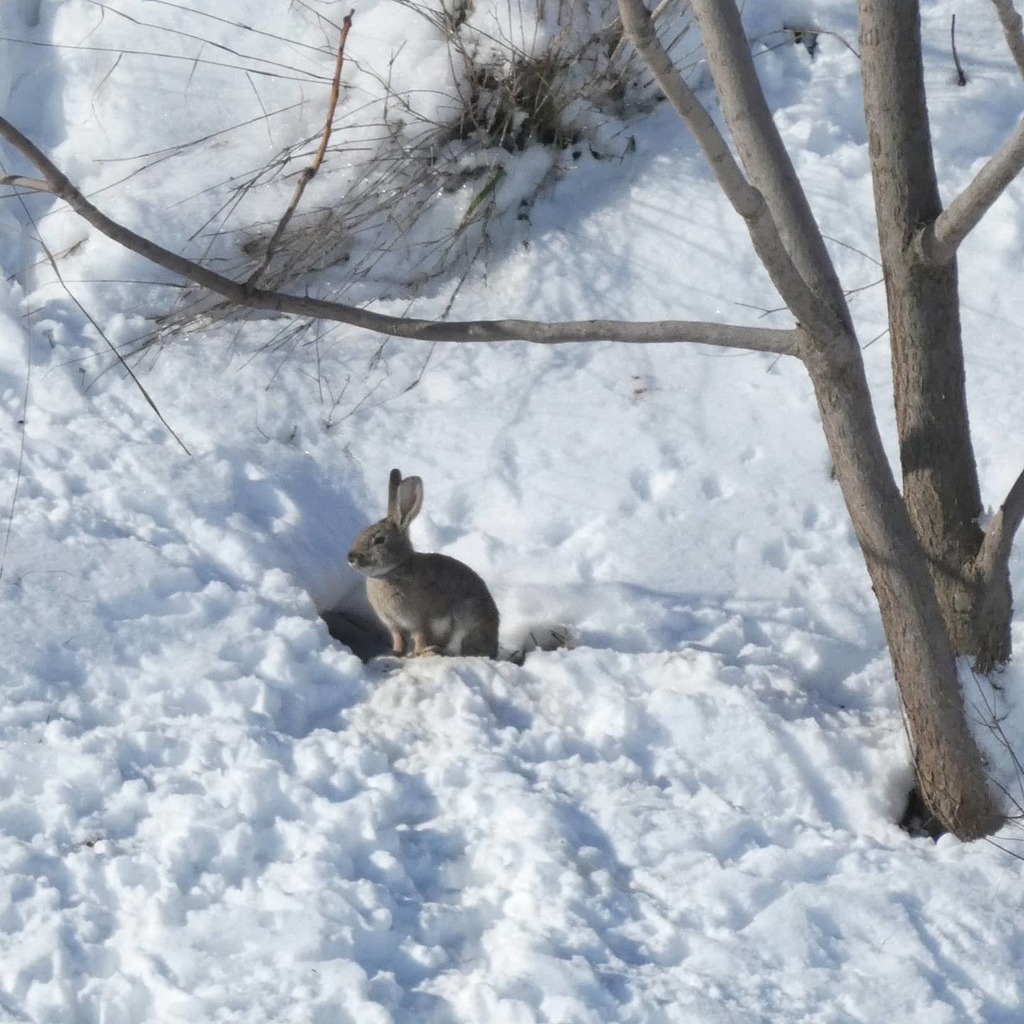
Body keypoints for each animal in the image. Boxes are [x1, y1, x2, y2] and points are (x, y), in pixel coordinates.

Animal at [347, 469, 500, 659]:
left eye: (380, 540)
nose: (351, 557)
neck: (393, 570)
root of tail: (492, 648)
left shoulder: (421, 621)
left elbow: (422, 637)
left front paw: (418, 653)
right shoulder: (395, 625)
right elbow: (399, 640)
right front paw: (395, 653)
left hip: (466, 620)